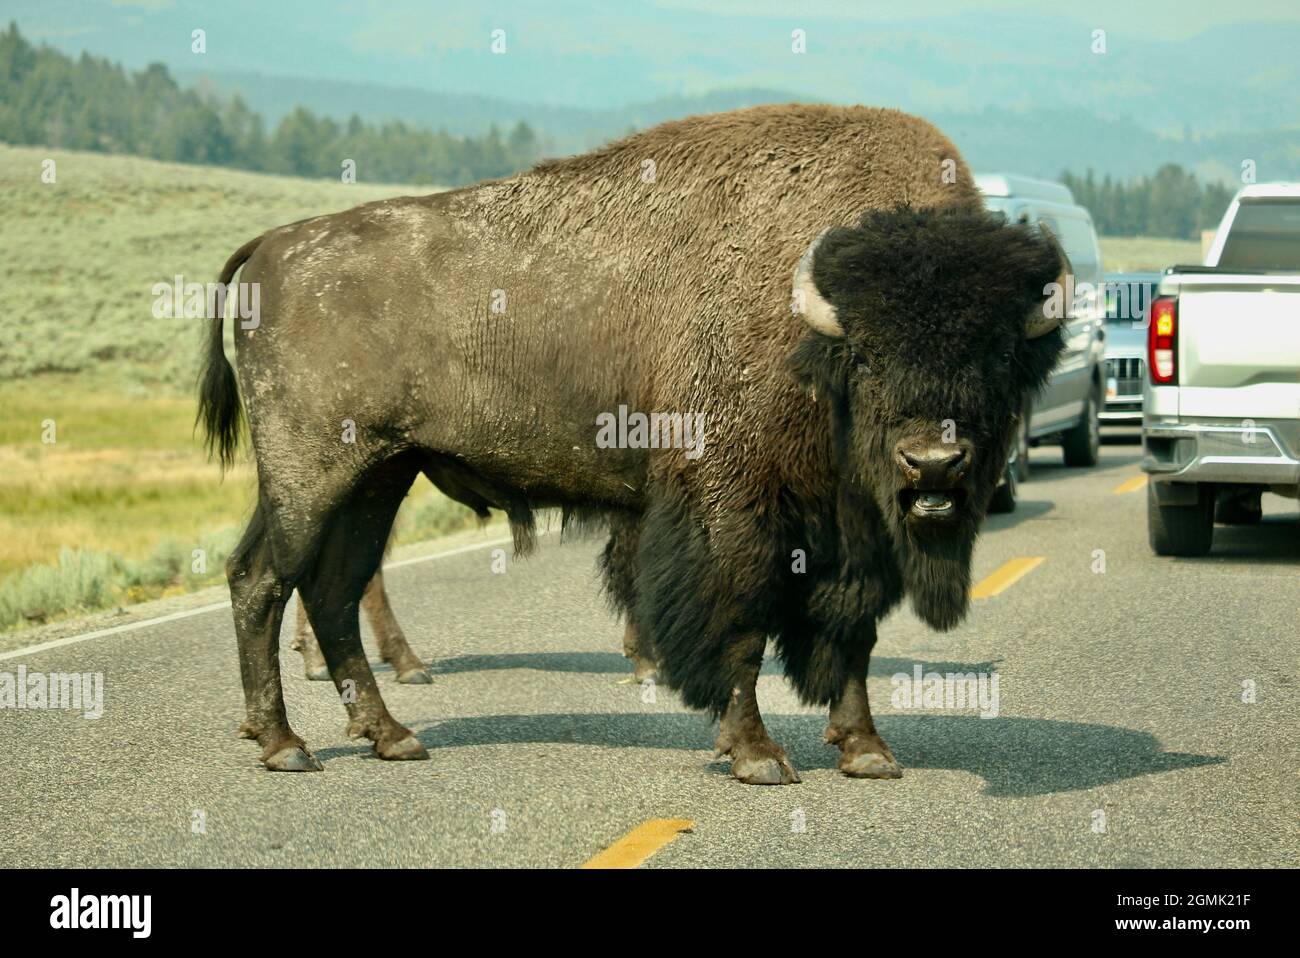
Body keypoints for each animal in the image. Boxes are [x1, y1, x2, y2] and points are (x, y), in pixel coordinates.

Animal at [200, 103, 1068, 784]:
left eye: (996, 356)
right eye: (868, 353)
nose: (934, 463)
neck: (808, 333)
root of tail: (273, 248)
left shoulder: (852, 537)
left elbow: (850, 636)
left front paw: (867, 752)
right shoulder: (732, 510)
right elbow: (739, 628)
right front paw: (757, 756)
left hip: (377, 477)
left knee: (333, 590)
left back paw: (391, 737)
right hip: (312, 476)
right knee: (262, 581)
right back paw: (286, 746)